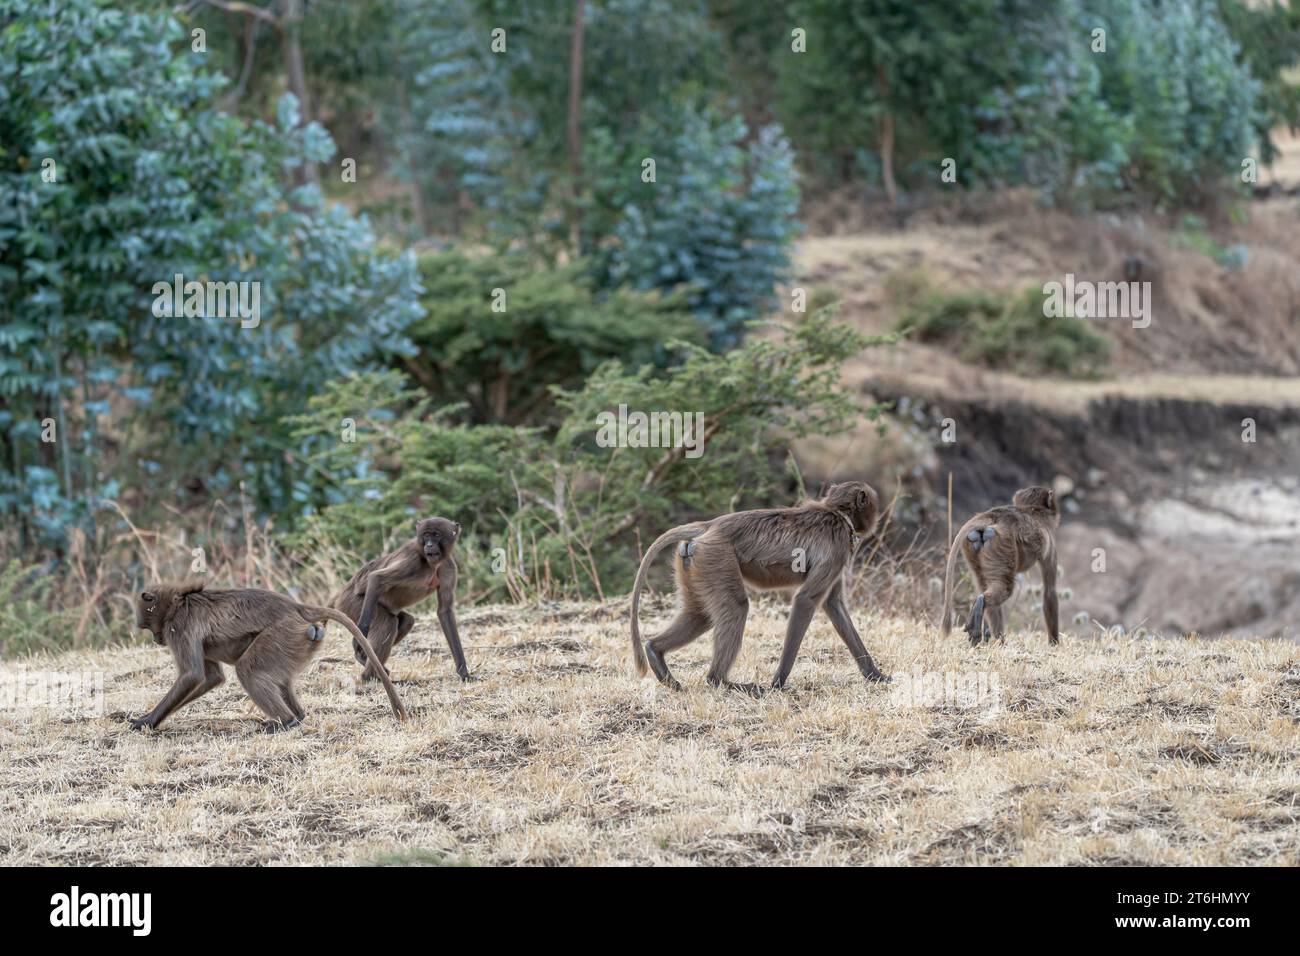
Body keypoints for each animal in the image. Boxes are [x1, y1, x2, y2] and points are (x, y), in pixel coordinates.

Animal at [129, 581, 407, 732]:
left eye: (146, 625)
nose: (156, 639)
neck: (177, 602)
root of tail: (296, 608)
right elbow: (211, 677)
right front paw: (151, 720)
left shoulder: (179, 627)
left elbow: (192, 675)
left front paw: (146, 721)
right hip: (297, 641)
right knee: (278, 678)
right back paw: (297, 717)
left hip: (283, 634)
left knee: (248, 671)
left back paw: (286, 721)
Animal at [333, 516, 468, 682]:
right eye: (426, 535)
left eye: (436, 535)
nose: (429, 545)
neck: (431, 564)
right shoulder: (412, 560)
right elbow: (376, 579)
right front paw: (361, 636)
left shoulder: (448, 568)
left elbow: (445, 611)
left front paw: (463, 672)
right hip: (352, 604)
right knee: (387, 624)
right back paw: (369, 675)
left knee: (406, 621)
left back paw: (366, 661)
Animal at [629, 481, 888, 695]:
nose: (876, 518)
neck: (837, 513)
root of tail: (710, 526)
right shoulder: (837, 549)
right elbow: (806, 600)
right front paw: (778, 683)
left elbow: (833, 604)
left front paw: (874, 674)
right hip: (716, 556)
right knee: (736, 607)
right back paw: (721, 680)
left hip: (693, 562)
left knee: (700, 615)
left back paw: (656, 654)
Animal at [940, 485, 1060, 646]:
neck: (1033, 510)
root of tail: (995, 515)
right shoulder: (1051, 543)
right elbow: (1050, 591)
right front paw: (1054, 644)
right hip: (1002, 543)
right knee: (1005, 587)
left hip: (972, 543)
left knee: (986, 585)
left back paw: (993, 637)